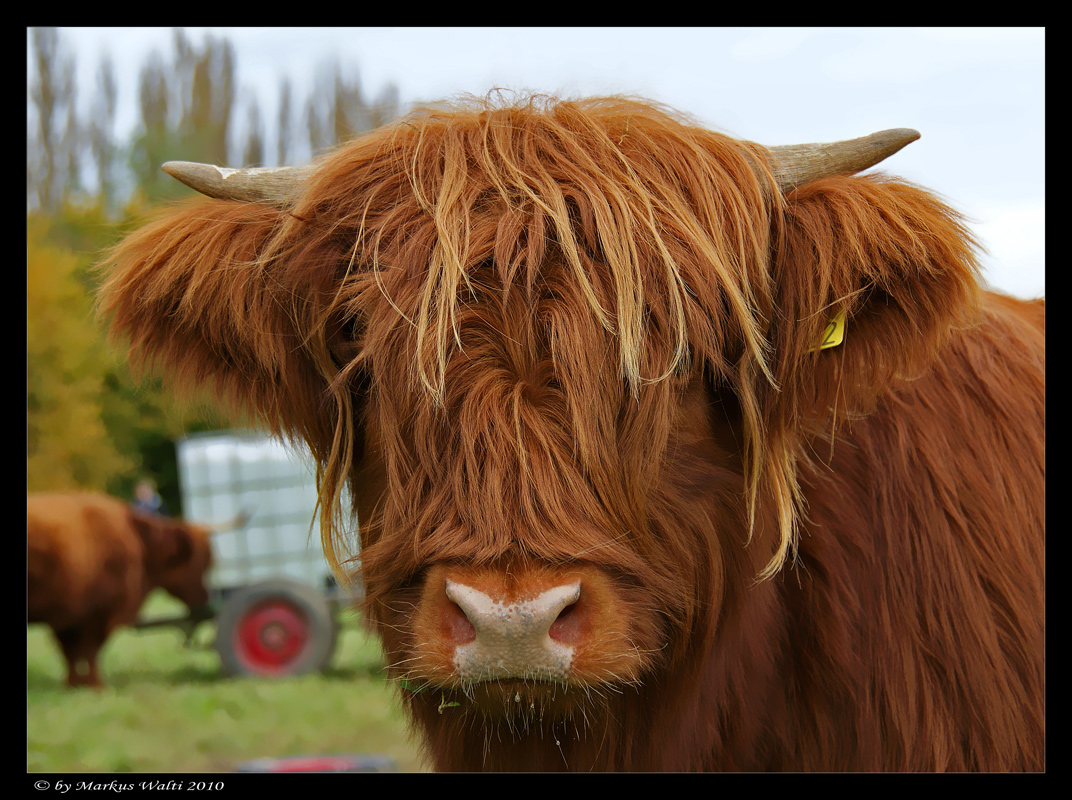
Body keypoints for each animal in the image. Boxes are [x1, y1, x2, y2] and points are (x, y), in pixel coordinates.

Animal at [27, 489, 214, 682]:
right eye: (202, 562)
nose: (206, 597)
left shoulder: (70, 619)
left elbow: (74, 655)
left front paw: (77, 683)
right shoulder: (95, 614)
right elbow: (88, 652)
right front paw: (95, 684)